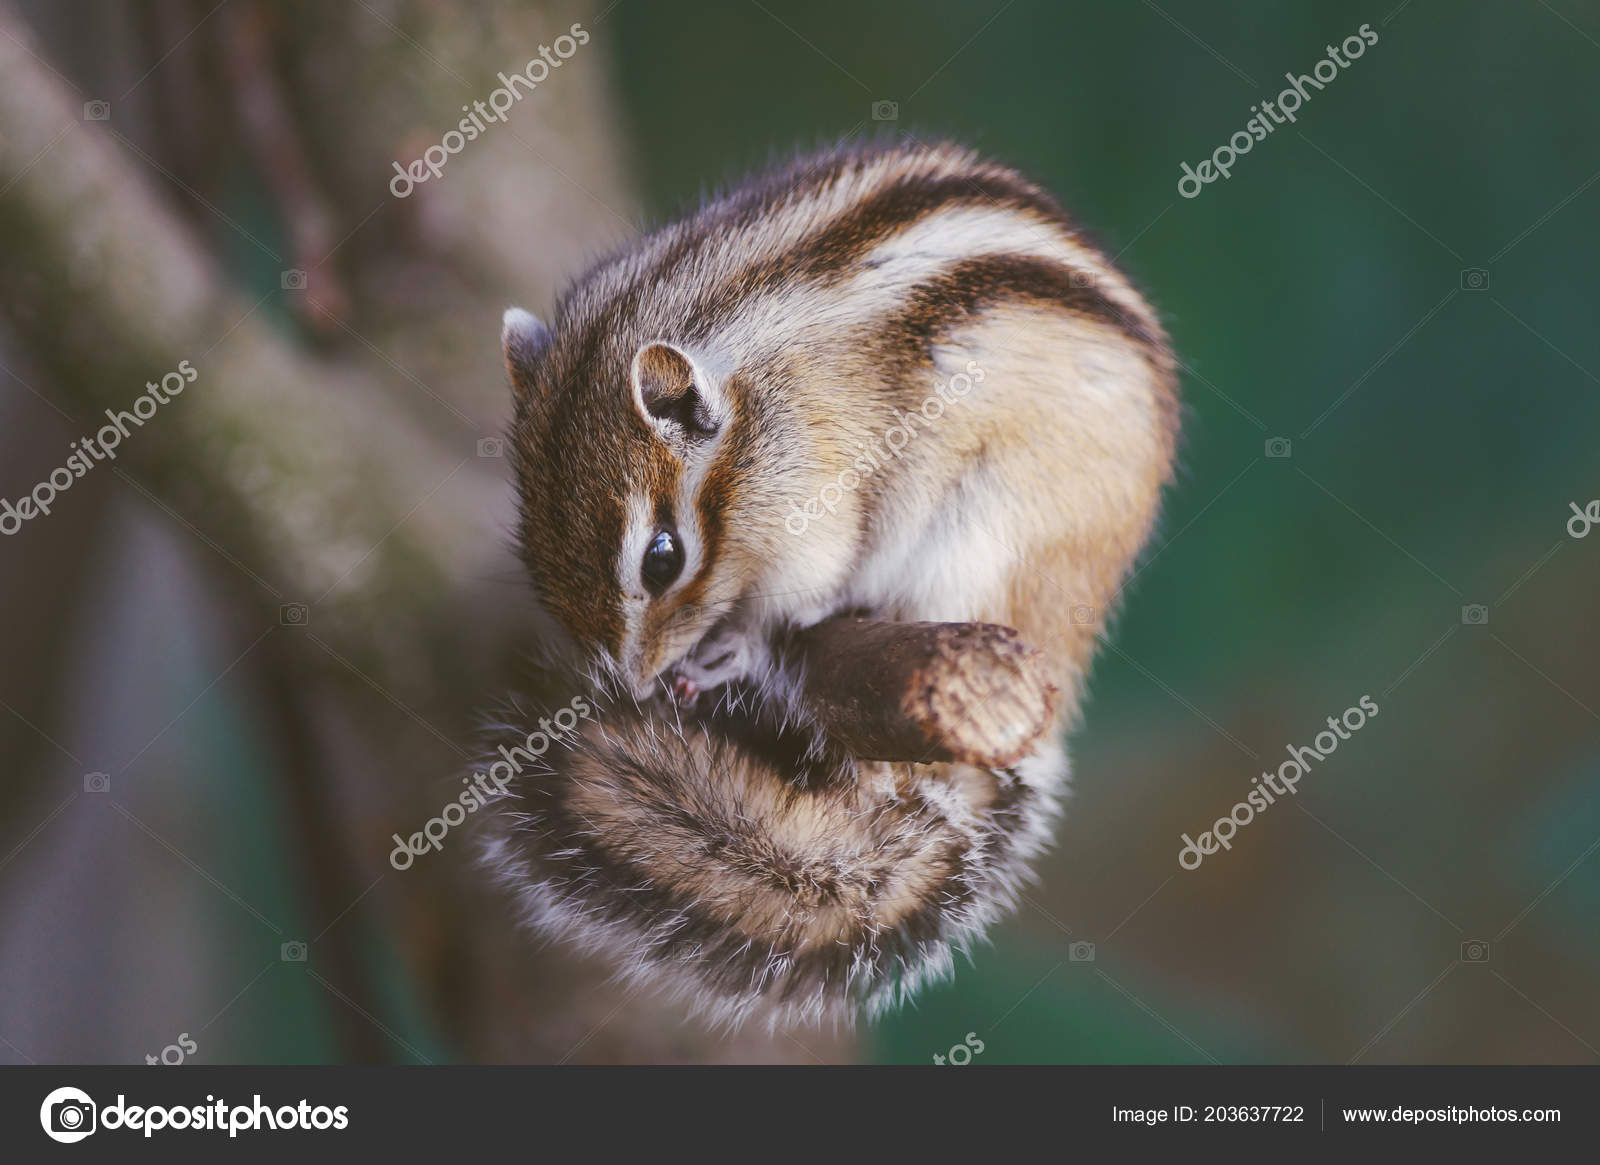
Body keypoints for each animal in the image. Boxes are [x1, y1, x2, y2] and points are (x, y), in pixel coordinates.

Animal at [480, 140, 1179, 1027]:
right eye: (530, 545)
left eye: (662, 558)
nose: (634, 684)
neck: (749, 399)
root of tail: (1063, 651)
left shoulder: (814, 511)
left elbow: (798, 593)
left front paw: (732, 646)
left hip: (983, 541)